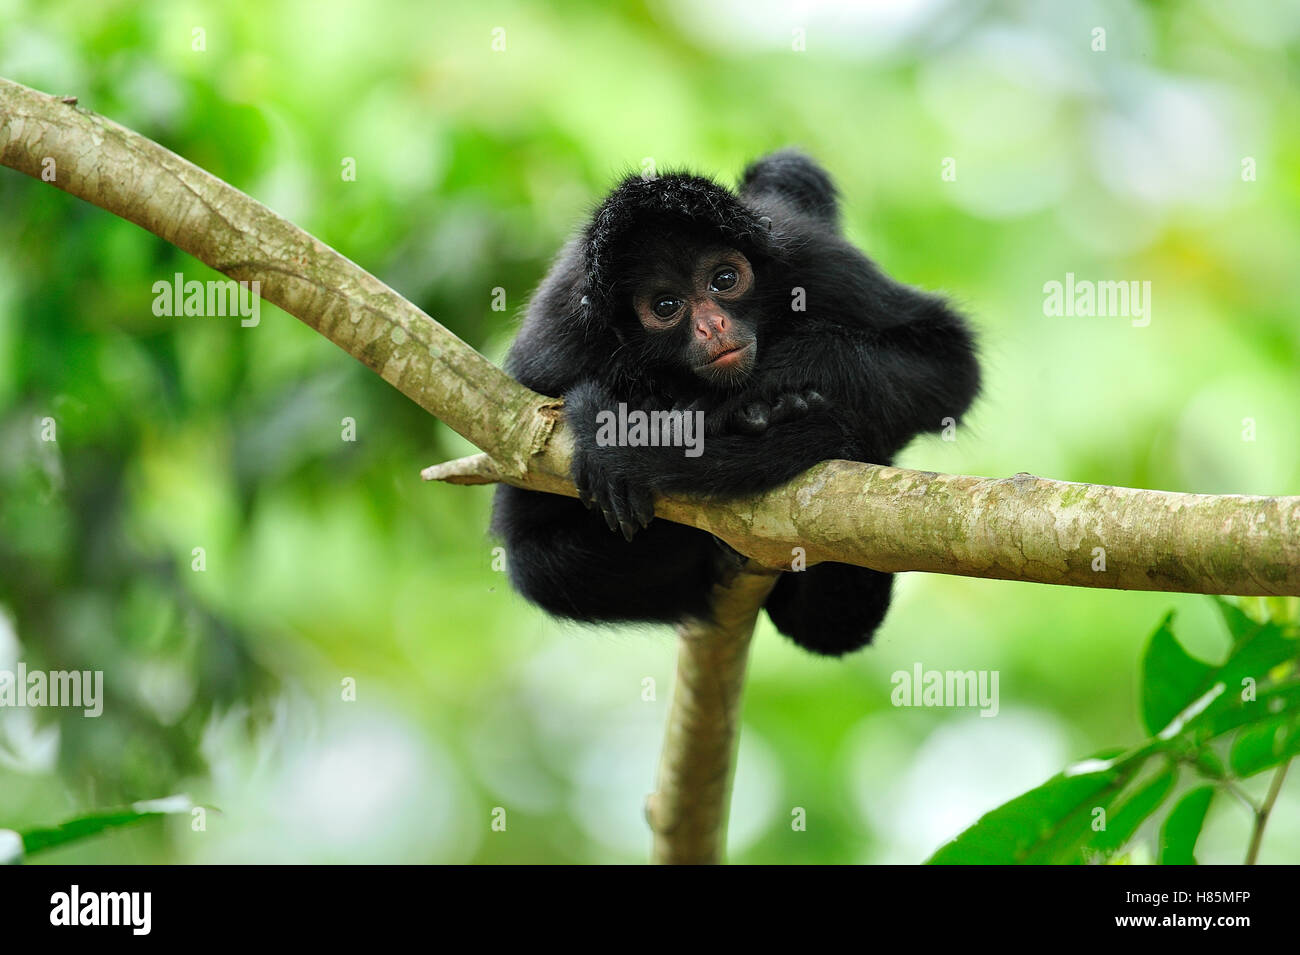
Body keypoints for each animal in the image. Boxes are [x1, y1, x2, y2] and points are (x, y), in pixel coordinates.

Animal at [491, 150, 980, 655]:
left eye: (724, 279)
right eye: (666, 307)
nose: (713, 326)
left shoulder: (814, 260)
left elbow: (951, 366)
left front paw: (760, 383)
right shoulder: (557, 349)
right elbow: (525, 539)